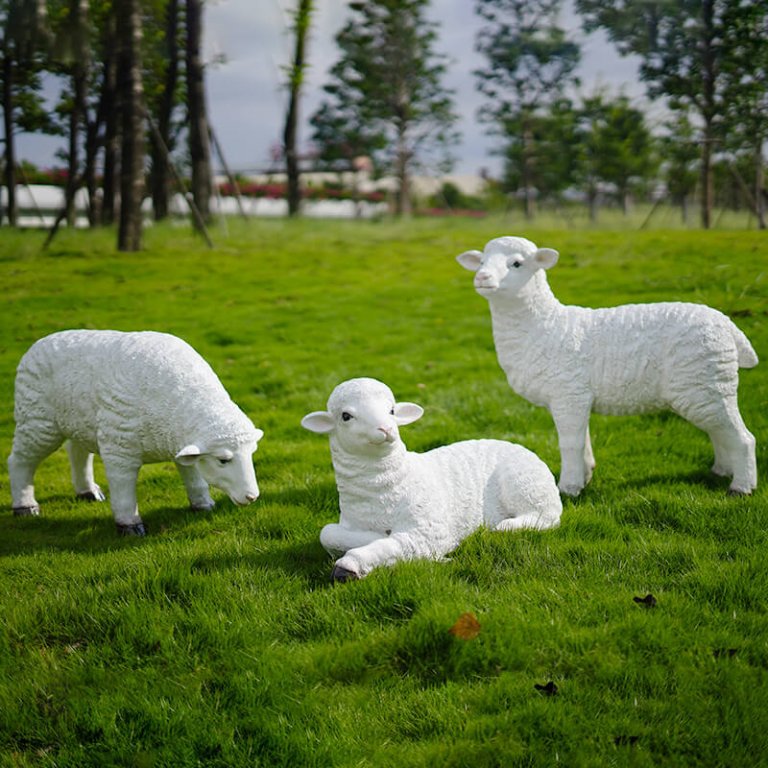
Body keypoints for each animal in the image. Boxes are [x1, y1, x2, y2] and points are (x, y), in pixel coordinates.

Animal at [8, 330, 264, 535]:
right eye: (223, 460)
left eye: (251, 454)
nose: (252, 497)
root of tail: (40, 342)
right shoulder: (119, 444)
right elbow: (123, 487)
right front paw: (130, 526)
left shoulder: (181, 442)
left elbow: (193, 475)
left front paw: (203, 505)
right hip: (37, 419)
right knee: (19, 459)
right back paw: (25, 506)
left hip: (79, 419)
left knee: (77, 451)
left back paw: (88, 491)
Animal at [301, 377, 562, 582]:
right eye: (346, 416)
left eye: (392, 410)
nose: (386, 429)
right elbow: (327, 534)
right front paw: (372, 538)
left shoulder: (429, 530)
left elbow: (397, 544)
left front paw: (352, 564)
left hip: (525, 484)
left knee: (546, 517)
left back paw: (505, 526)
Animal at [457, 235, 758, 496]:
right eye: (481, 261)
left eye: (517, 264)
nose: (482, 278)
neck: (543, 325)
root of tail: (727, 325)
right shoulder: (575, 396)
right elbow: (584, 441)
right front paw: (586, 476)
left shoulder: (568, 393)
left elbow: (570, 443)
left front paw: (568, 488)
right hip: (707, 384)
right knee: (719, 431)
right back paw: (721, 471)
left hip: (704, 382)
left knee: (742, 436)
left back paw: (741, 487)